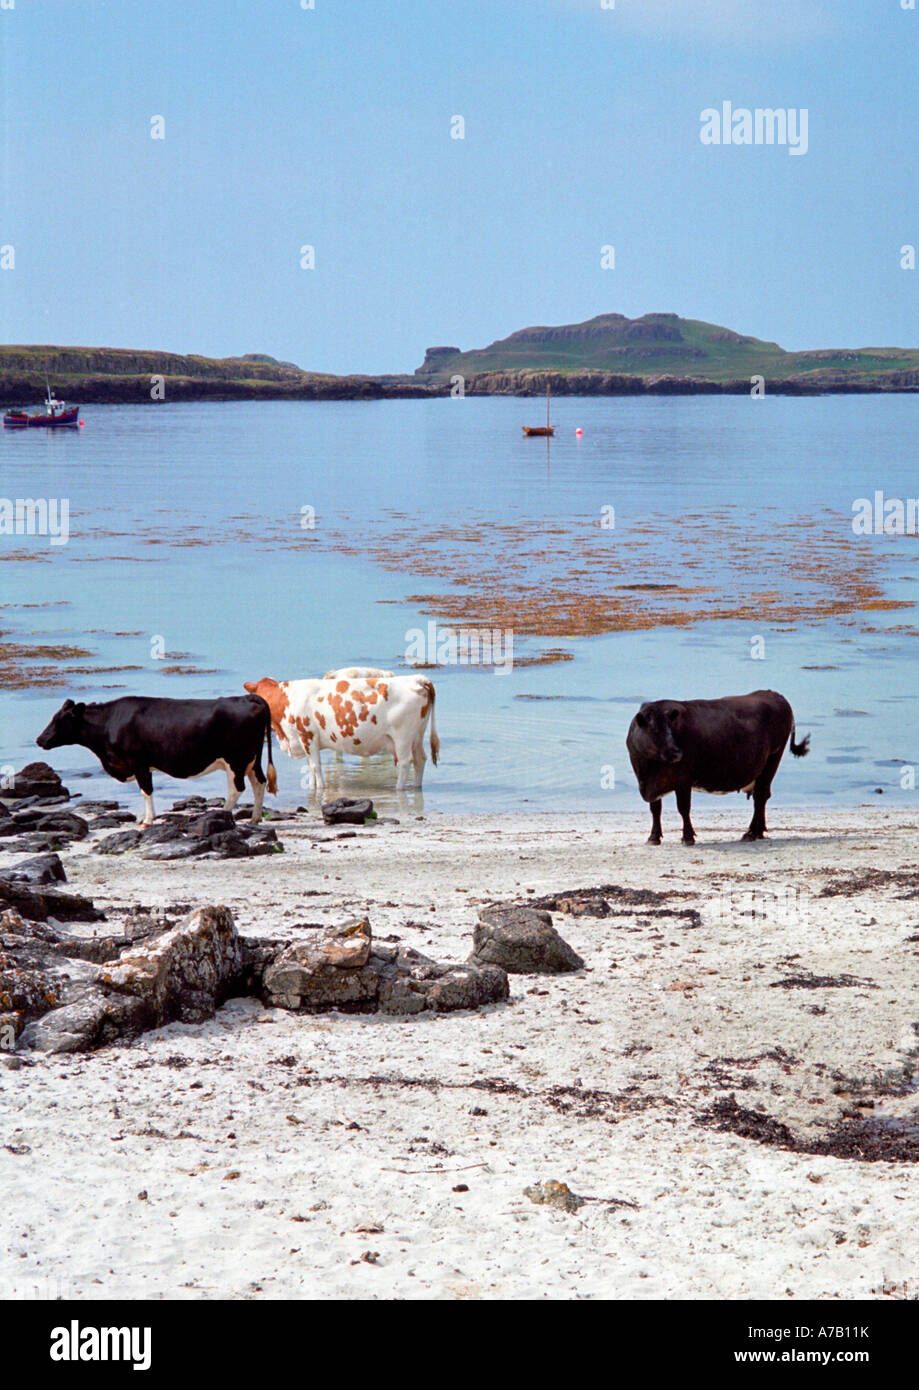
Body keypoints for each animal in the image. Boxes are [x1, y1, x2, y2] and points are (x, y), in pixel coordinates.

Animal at [35, 694, 276, 826]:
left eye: (60, 720)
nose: (39, 740)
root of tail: (247, 697)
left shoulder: (138, 763)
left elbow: (146, 791)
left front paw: (147, 820)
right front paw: (144, 817)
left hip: (235, 760)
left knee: (237, 788)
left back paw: (222, 814)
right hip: (252, 759)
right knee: (259, 782)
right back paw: (255, 818)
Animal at [242, 671, 439, 792]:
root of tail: (417, 679)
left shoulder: (308, 736)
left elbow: (316, 766)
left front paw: (320, 789)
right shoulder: (304, 740)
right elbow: (310, 766)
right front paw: (313, 788)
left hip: (402, 737)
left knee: (406, 762)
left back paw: (399, 788)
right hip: (417, 736)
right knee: (420, 760)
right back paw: (416, 787)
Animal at [626, 690, 809, 845]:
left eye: (671, 730)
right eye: (655, 731)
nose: (677, 753)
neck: (649, 771)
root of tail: (774, 694)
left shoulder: (683, 779)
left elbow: (683, 808)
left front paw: (688, 837)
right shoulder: (652, 783)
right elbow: (655, 809)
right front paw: (653, 837)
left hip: (772, 759)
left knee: (760, 796)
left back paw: (752, 833)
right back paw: (758, 832)